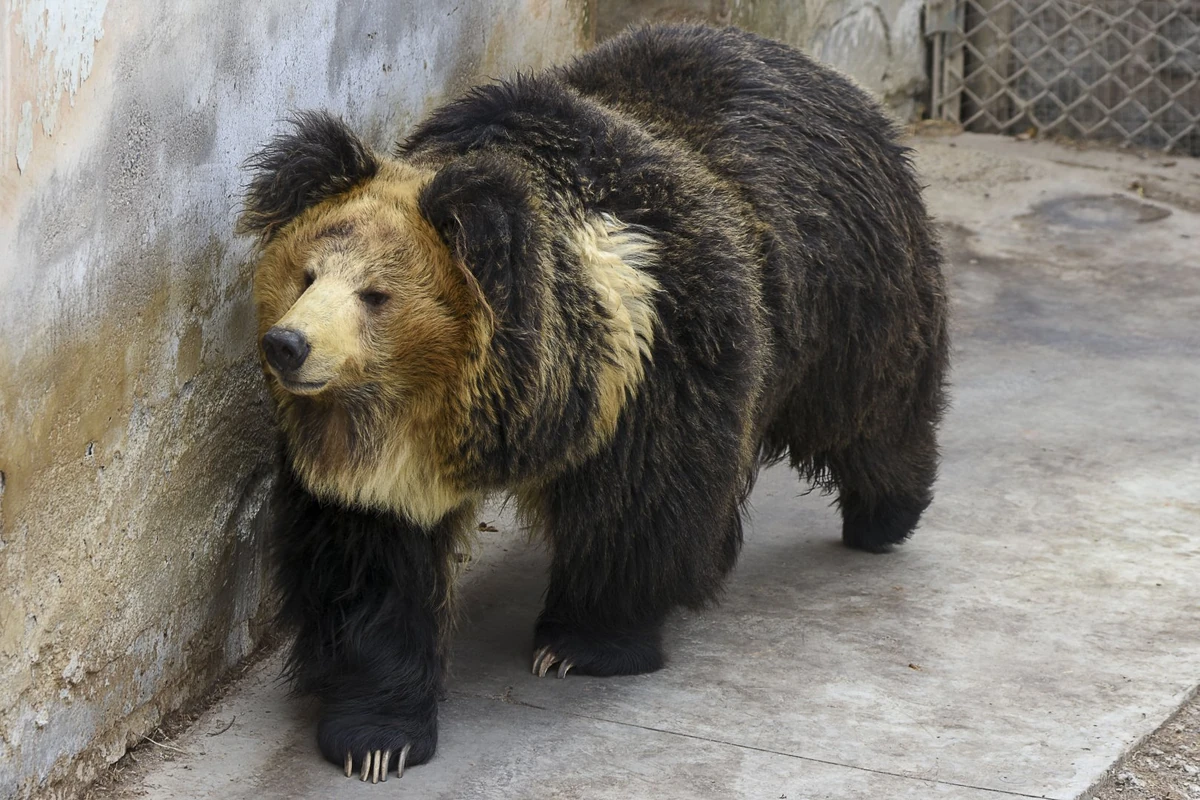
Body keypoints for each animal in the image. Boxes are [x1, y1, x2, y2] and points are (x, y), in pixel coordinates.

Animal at [238, 23, 948, 783]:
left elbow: (640, 510)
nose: (287, 345)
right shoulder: (373, 464)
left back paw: (886, 515)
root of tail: (820, 73)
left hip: (852, 290)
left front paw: (582, 643)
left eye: (375, 294)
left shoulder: (662, 363)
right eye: (307, 275)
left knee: (873, 410)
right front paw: (376, 736)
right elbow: (367, 563)